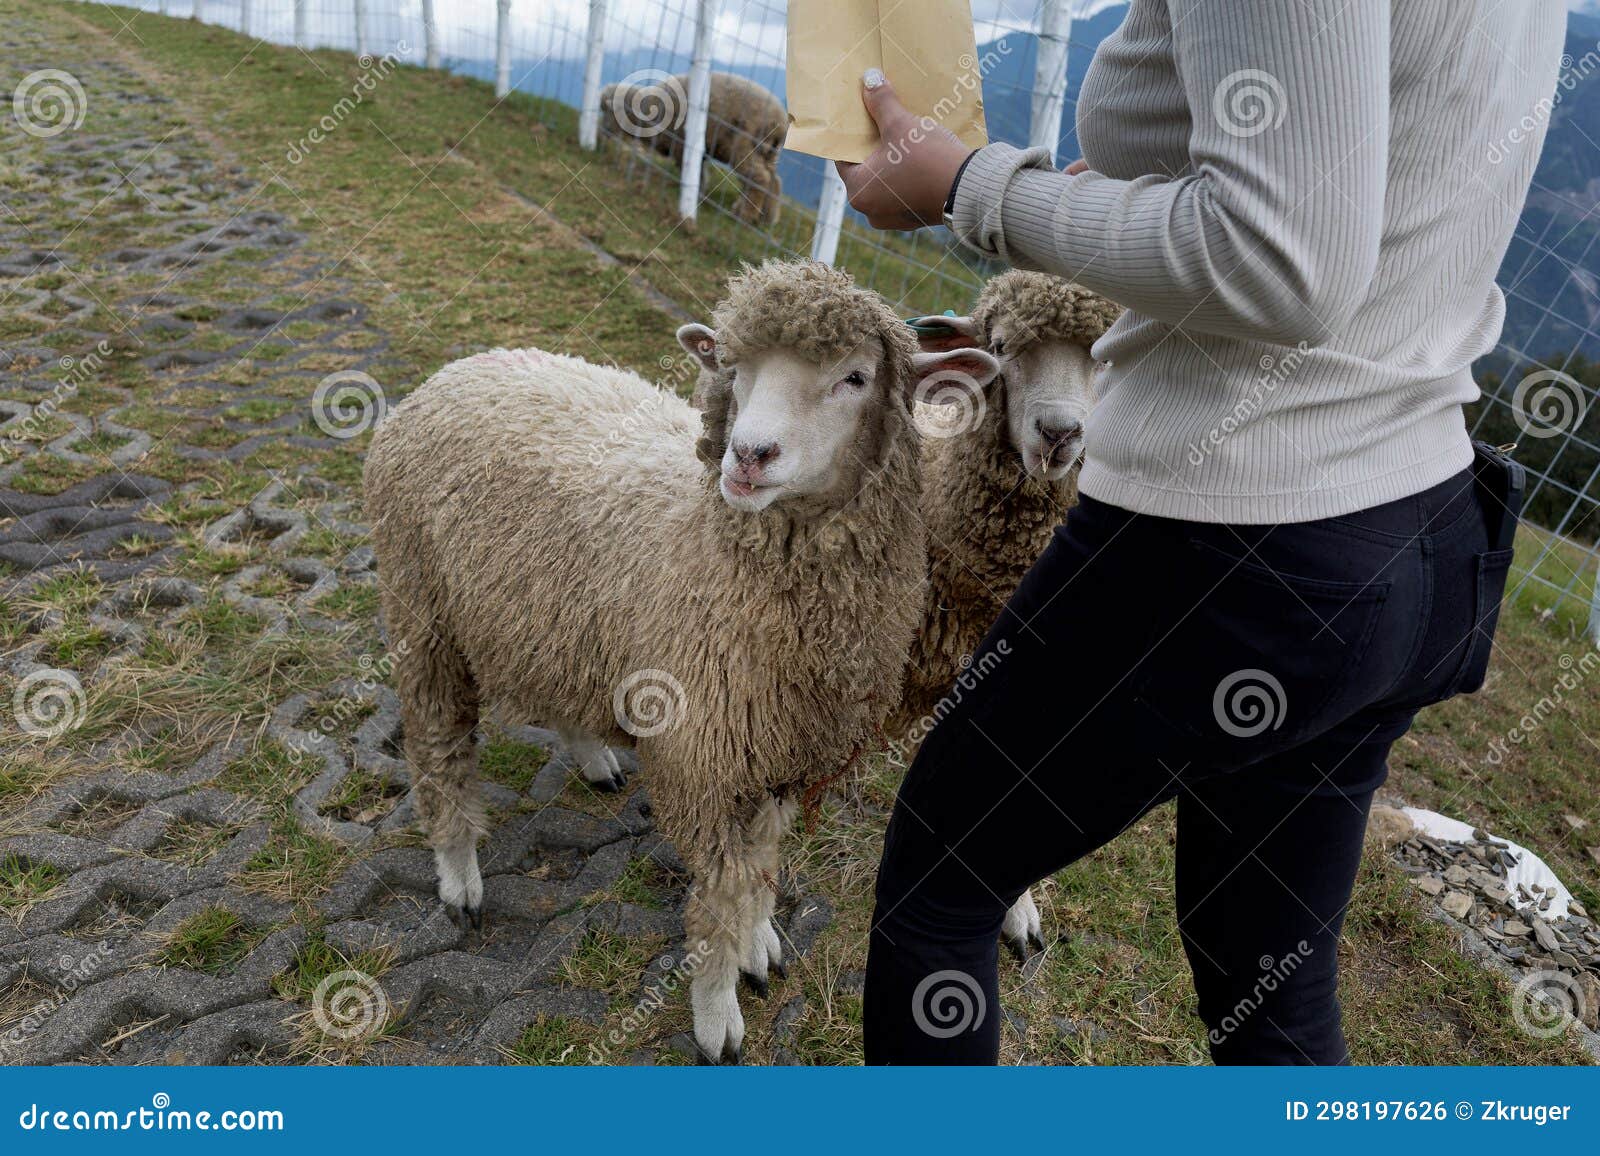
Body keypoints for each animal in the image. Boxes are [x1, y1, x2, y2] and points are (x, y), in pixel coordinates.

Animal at [363, 259, 999, 1064]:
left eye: (856, 377)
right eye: (732, 364)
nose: (748, 455)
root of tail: (465, 366)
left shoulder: (784, 753)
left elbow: (761, 865)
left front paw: (759, 940)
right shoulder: (706, 762)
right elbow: (721, 896)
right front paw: (717, 1011)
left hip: (557, 620)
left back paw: (591, 757)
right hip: (423, 610)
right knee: (437, 748)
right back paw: (458, 874)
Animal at [600, 70, 787, 225]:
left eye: (607, 111)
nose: (604, 132)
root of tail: (779, 120)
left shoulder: (682, 145)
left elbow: (692, 171)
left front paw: (692, 193)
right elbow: (700, 172)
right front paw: (699, 193)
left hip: (744, 145)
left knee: (759, 179)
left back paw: (743, 214)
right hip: (768, 152)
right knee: (774, 181)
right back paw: (768, 218)